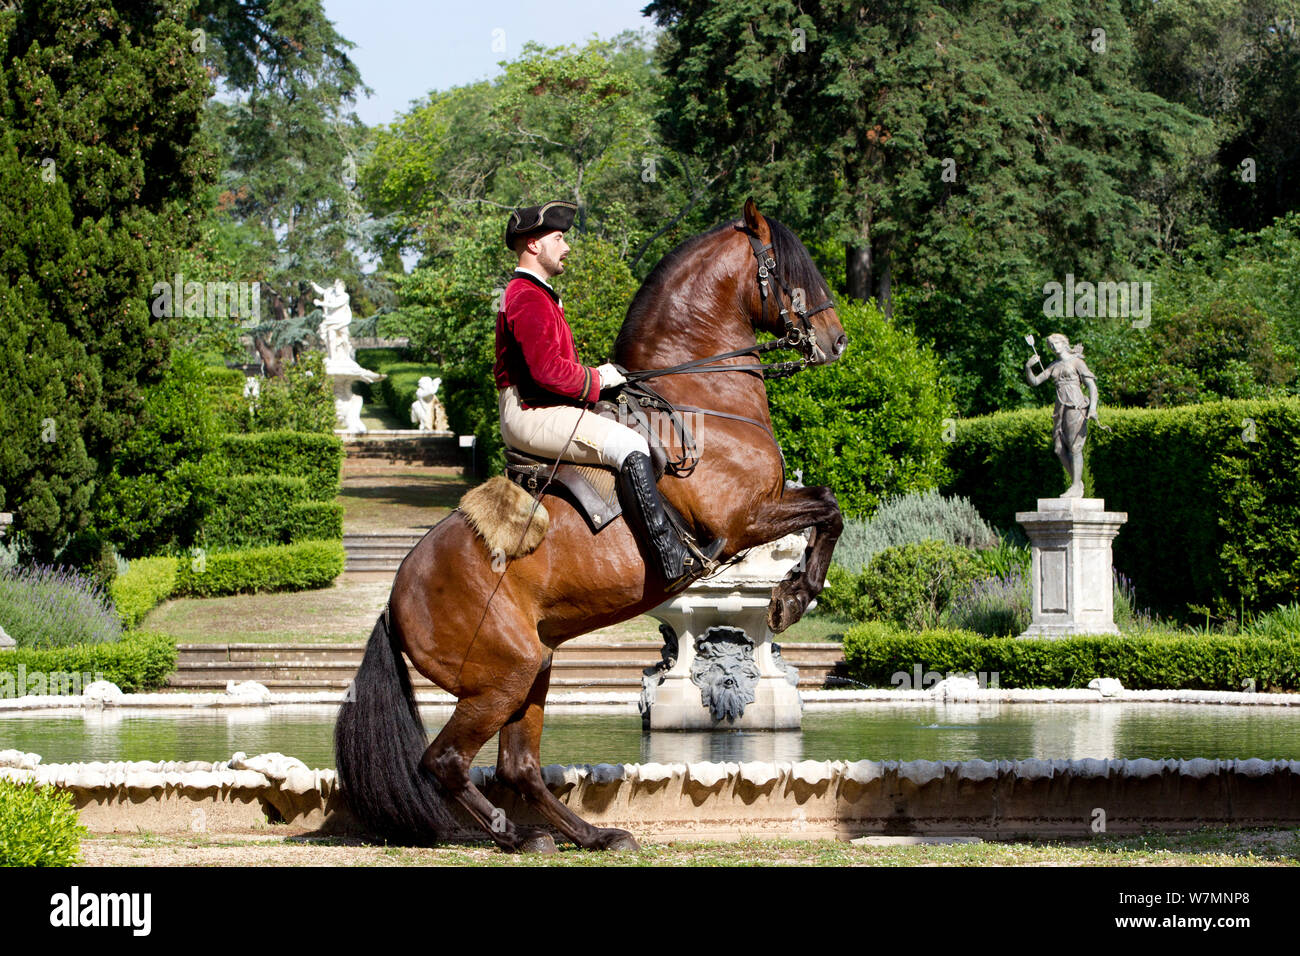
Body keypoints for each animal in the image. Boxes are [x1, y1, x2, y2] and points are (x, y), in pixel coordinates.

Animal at [335, 199, 848, 853]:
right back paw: (517, 836)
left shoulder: (765, 509)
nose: (836, 340)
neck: (699, 391)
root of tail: (397, 597)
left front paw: (791, 594)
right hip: (502, 680)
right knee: (447, 761)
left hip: (534, 668)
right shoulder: (745, 518)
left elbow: (829, 504)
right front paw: (792, 598)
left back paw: (592, 834)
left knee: (518, 767)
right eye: (785, 268)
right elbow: (829, 510)